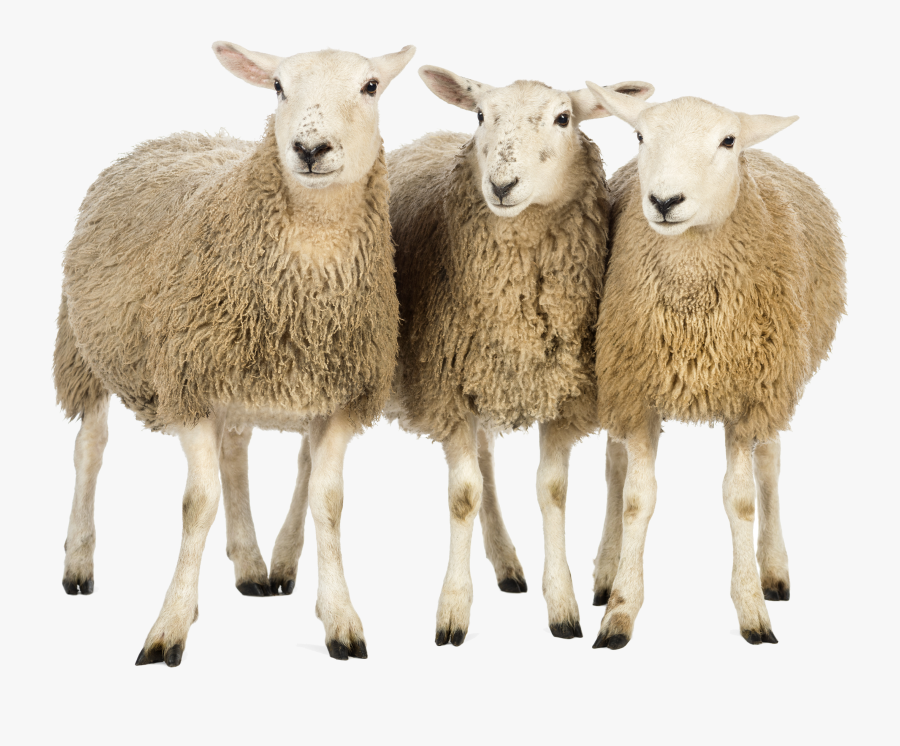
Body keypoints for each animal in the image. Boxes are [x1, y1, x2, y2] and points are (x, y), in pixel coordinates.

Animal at [55, 41, 415, 665]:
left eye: (370, 86)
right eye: (277, 86)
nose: (310, 149)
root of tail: (170, 136)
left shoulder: (340, 400)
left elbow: (328, 501)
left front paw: (341, 618)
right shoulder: (187, 385)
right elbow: (197, 504)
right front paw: (169, 625)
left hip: (238, 376)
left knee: (235, 452)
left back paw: (250, 564)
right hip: (85, 347)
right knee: (90, 450)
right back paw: (79, 561)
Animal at [384, 66, 653, 645]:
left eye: (563, 118)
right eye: (482, 115)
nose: (501, 185)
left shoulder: (563, 392)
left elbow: (553, 491)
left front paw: (563, 606)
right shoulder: (450, 389)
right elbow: (463, 494)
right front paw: (453, 611)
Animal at [583, 83, 846, 649]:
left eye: (726, 141)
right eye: (640, 136)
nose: (664, 201)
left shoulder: (748, 396)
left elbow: (741, 499)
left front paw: (752, 610)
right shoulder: (636, 389)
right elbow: (636, 497)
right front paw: (620, 610)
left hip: (777, 381)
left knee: (770, 465)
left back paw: (774, 573)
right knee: (614, 467)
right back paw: (606, 570)